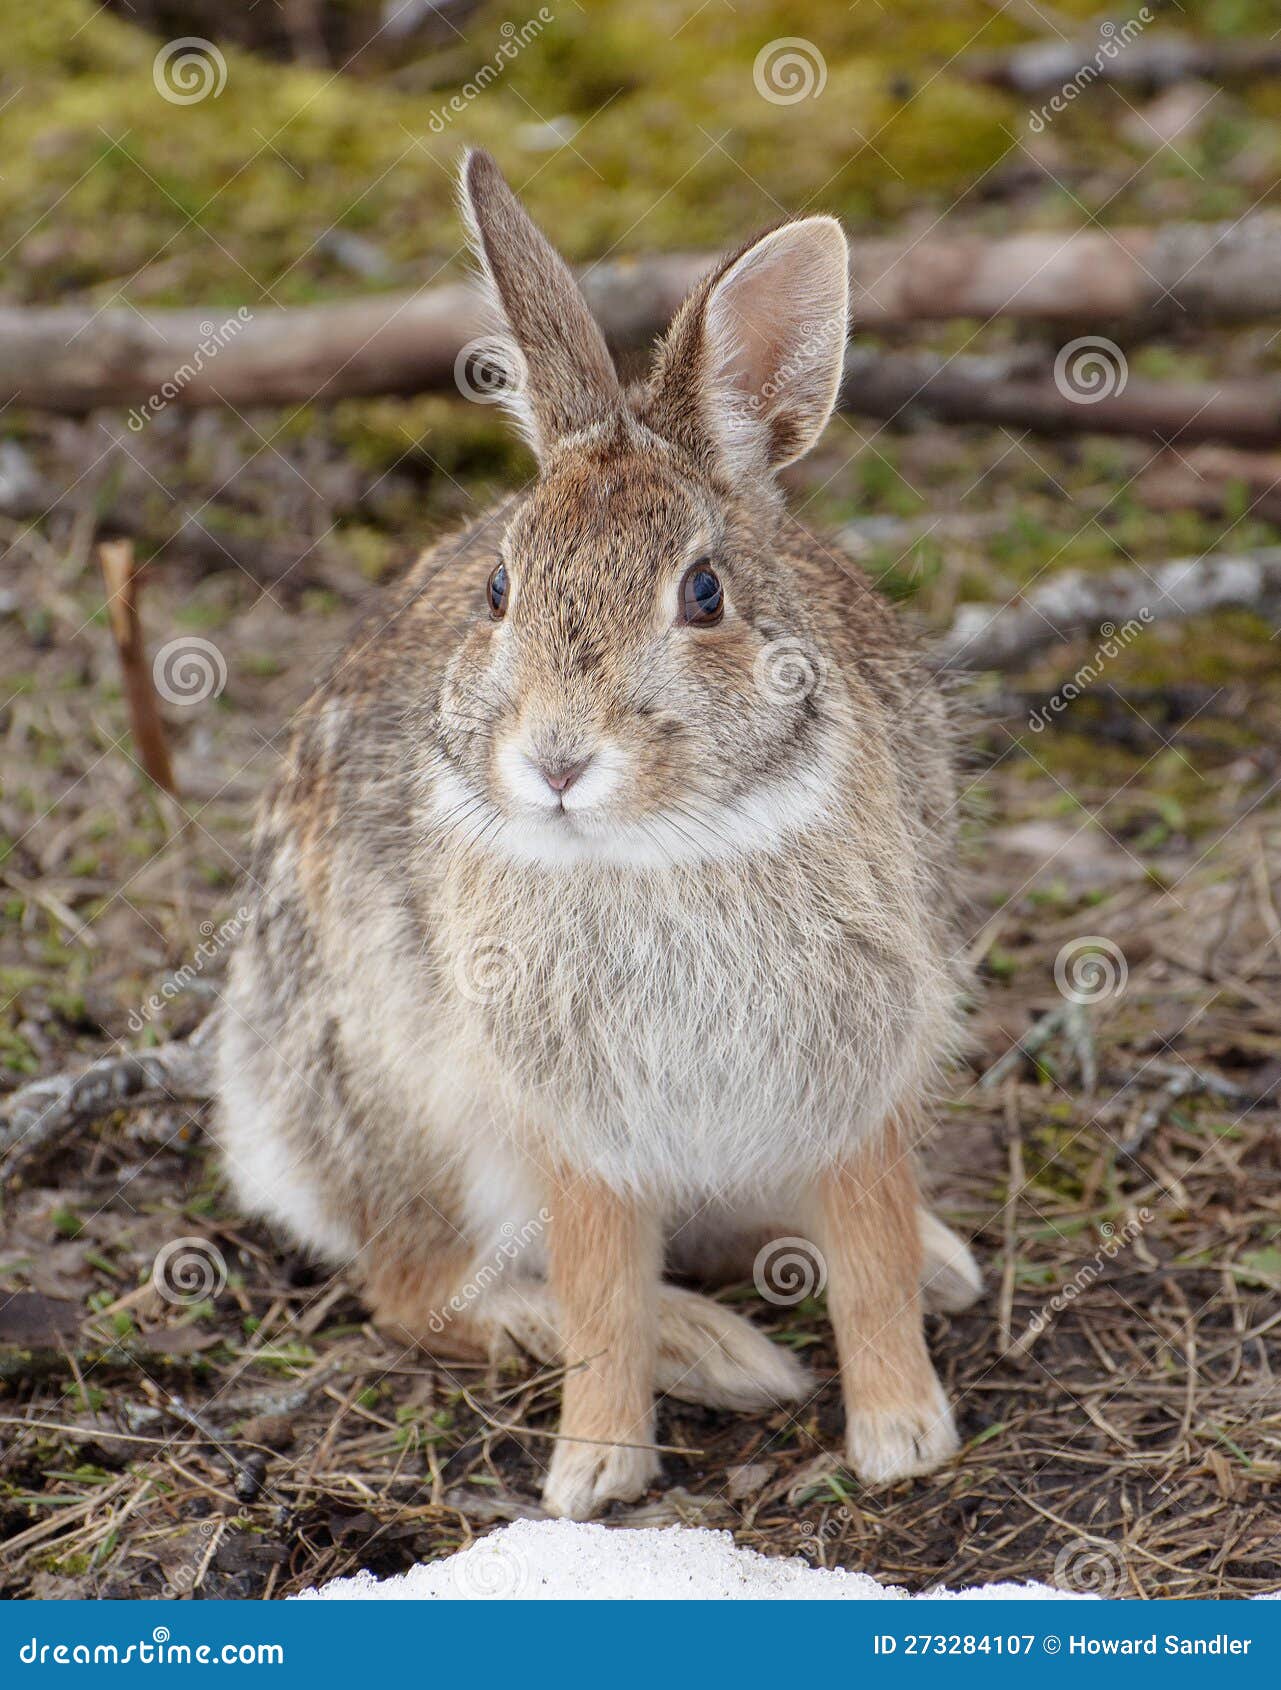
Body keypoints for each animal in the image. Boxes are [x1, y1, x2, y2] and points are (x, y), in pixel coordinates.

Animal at [214, 149, 981, 1521]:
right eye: (499, 589)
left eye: (705, 594)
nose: (558, 761)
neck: (660, 841)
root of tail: (266, 1142)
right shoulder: (573, 1121)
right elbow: (599, 1292)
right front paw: (591, 1474)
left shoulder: (854, 1073)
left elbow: (871, 1248)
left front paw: (902, 1435)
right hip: (420, 1113)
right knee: (416, 1290)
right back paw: (715, 1353)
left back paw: (921, 1269)